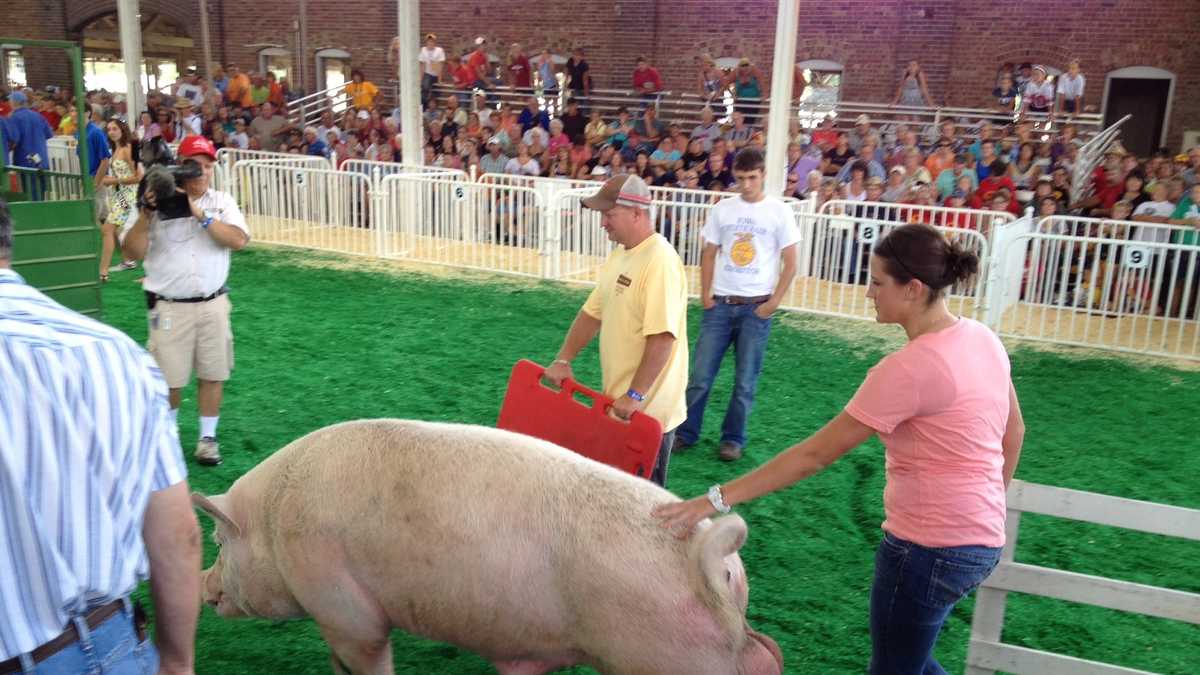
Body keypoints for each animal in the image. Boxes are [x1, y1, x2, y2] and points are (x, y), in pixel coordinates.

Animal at [193, 419, 783, 675]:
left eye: (219, 539)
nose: (202, 584)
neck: (274, 524)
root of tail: (711, 559)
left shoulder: (345, 607)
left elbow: (366, 657)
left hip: (674, 660)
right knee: (767, 651)